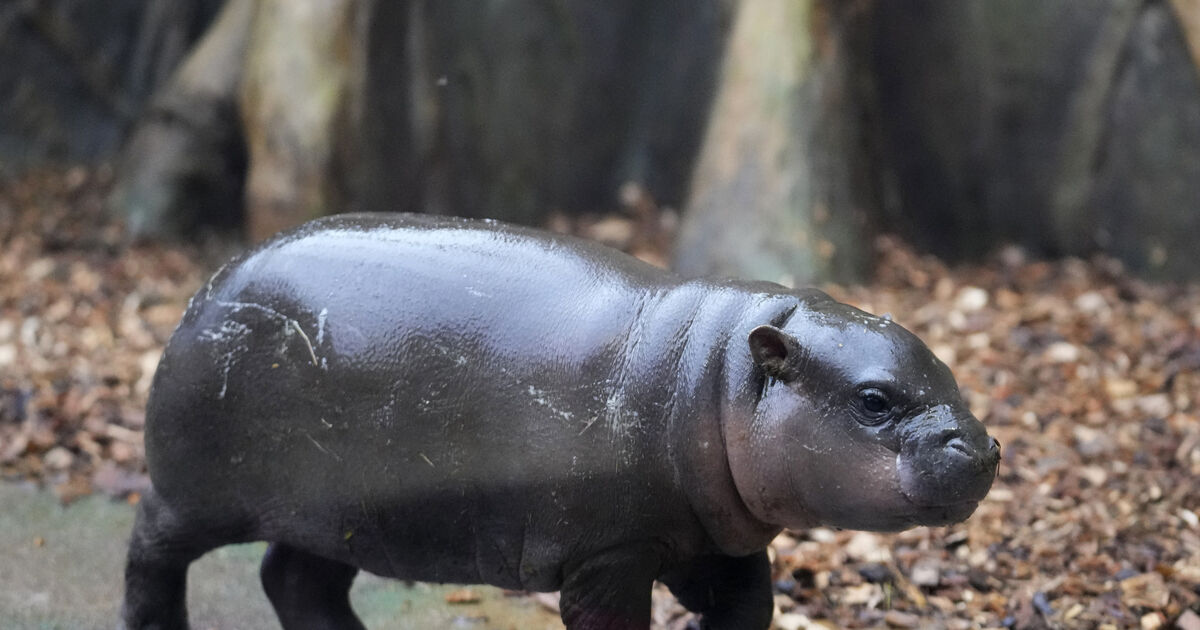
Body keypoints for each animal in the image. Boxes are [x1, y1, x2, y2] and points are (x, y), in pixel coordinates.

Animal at [121, 213, 999, 630]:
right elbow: (610, 621)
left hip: (342, 509)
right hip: (195, 487)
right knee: (152, 551)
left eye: (950, 369)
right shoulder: (607, 553)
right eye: (874, 401)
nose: (985, 448)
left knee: (296, 579)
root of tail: (207, 286)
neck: (711, 374)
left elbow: (749, 608)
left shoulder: (706, 537)